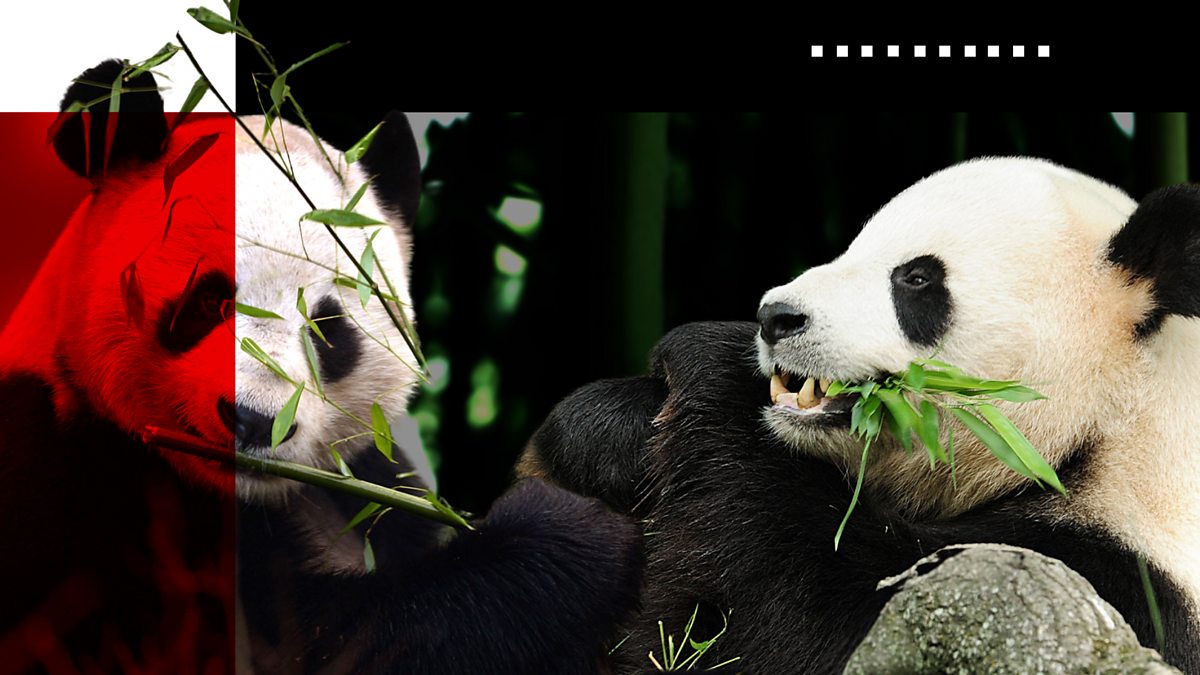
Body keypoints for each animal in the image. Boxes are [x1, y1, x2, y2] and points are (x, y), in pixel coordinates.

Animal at [0, 60, 641, 674]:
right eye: (208, 302)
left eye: (326, 328)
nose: (255, 422)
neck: (254, 497)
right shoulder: (72, 471)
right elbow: (334, 646)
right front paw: (567, 526)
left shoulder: (372, 485)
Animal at [521, 158, 1200, 673]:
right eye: (851, 248)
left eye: (917, 278)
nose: (776, 317)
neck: (1114, 424)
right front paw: (607, 432)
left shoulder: (1123, 586)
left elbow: (808, 613)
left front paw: (703, 366)